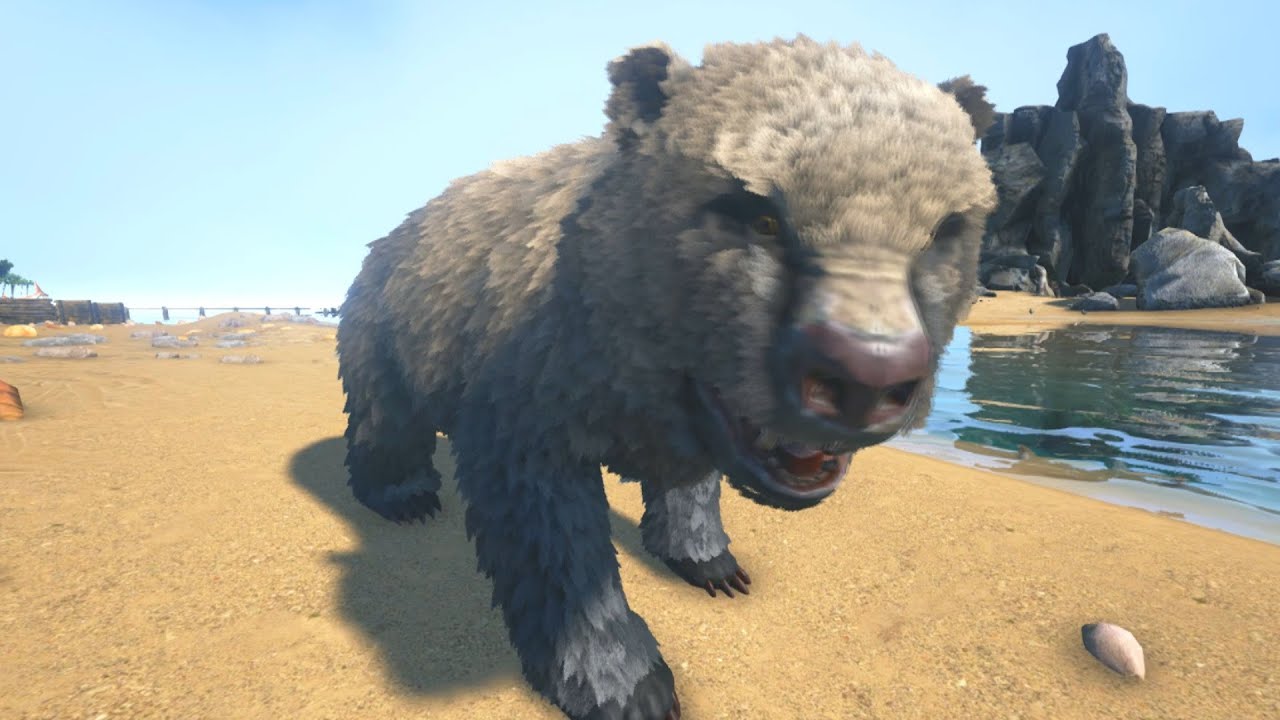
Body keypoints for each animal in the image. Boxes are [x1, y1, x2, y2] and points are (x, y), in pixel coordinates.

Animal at [337, 35, 996, 720]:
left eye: (944, 230)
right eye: (760, 216)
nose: (867, 375)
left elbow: (692, 485)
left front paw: (713, 565)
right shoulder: (528, 395)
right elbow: (555, 544)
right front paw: (625, 683)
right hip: (383, 325)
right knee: (386, 415)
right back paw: (403, 496)